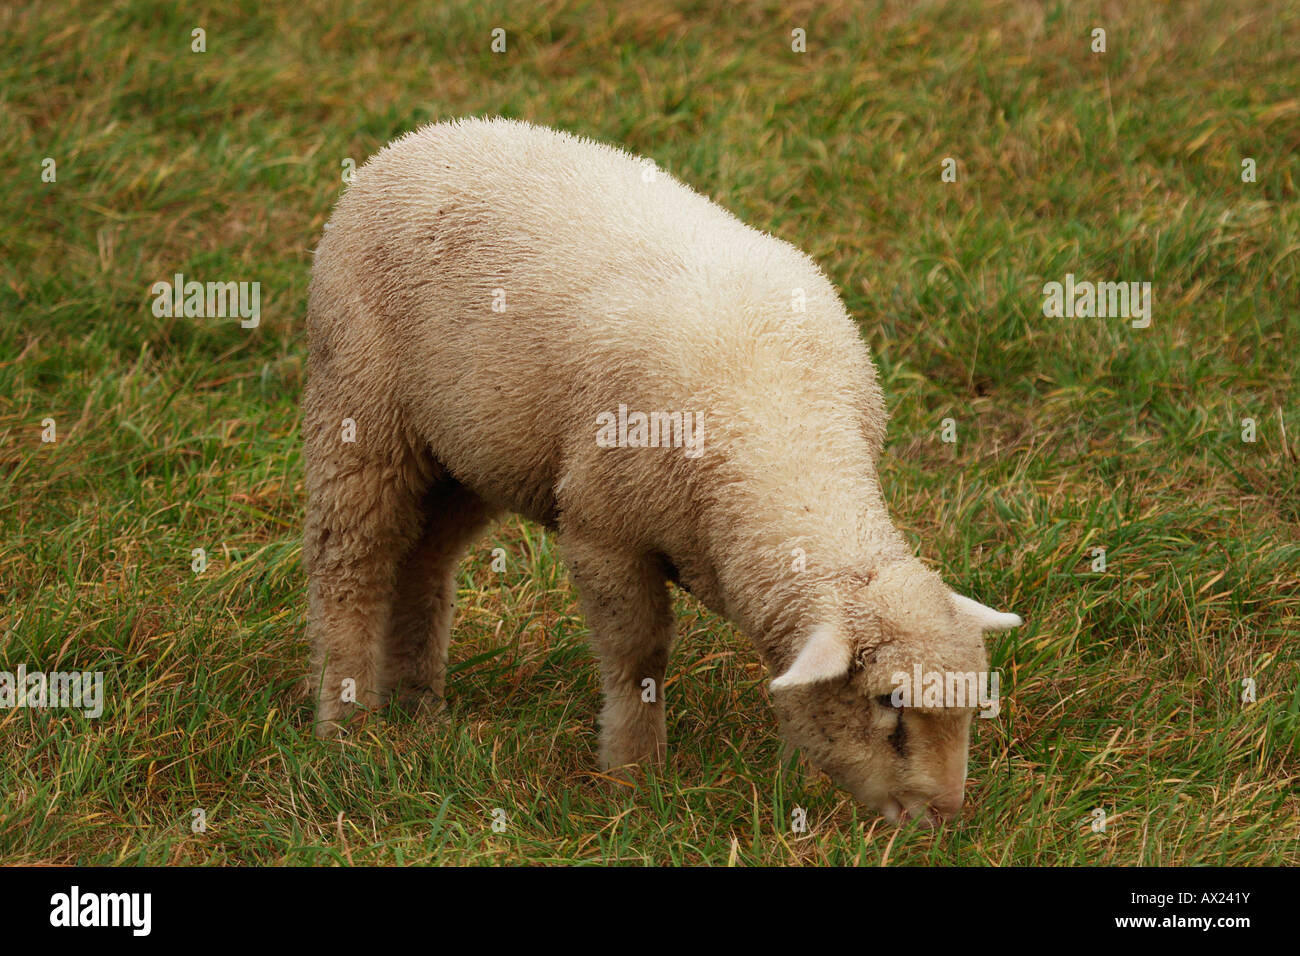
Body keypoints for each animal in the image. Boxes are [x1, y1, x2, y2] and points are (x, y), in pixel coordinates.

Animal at [302, 117, 1022, 825]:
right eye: (888, 707)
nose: (944, 817)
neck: (782, 435)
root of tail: (428, 134)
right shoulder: (604, 533)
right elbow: (637, 658)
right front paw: (632, 776)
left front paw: (796, 785)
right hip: (360, 407)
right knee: (351, 565)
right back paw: (346, 723)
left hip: (469, 448)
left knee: (424, 561)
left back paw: (418, 704)